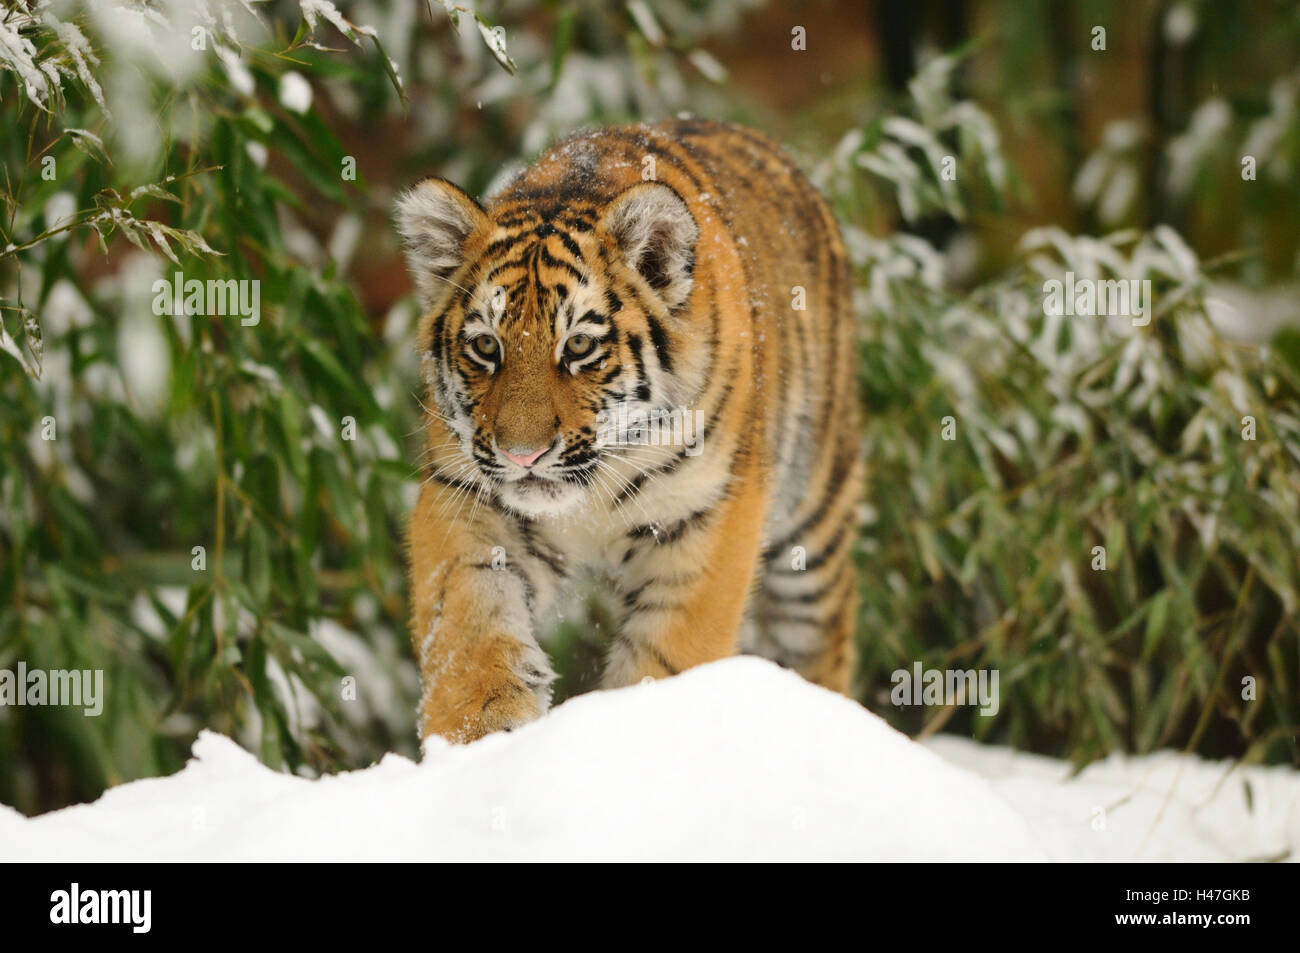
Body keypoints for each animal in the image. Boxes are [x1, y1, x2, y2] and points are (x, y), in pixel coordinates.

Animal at [395, 118, 862, 743]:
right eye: (486, 347)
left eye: (579, 346)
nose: (523, 456)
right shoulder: (465, 495)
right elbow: (466, 623)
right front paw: (477, 731)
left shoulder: (705, 518)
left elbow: (669, 654)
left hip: (814, 527)